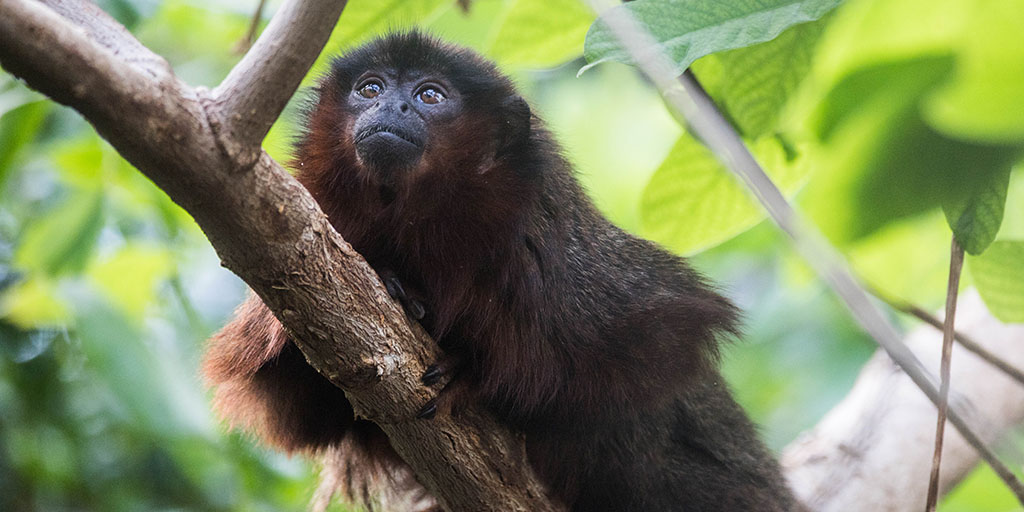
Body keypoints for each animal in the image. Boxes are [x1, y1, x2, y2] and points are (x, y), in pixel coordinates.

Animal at [202, 31, 801, 512]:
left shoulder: (559, 254)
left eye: (430, 95)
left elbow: (649, 353)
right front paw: (395, 283)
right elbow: (295, 396)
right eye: (370, 89)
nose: (393, 107)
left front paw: (472, 373)